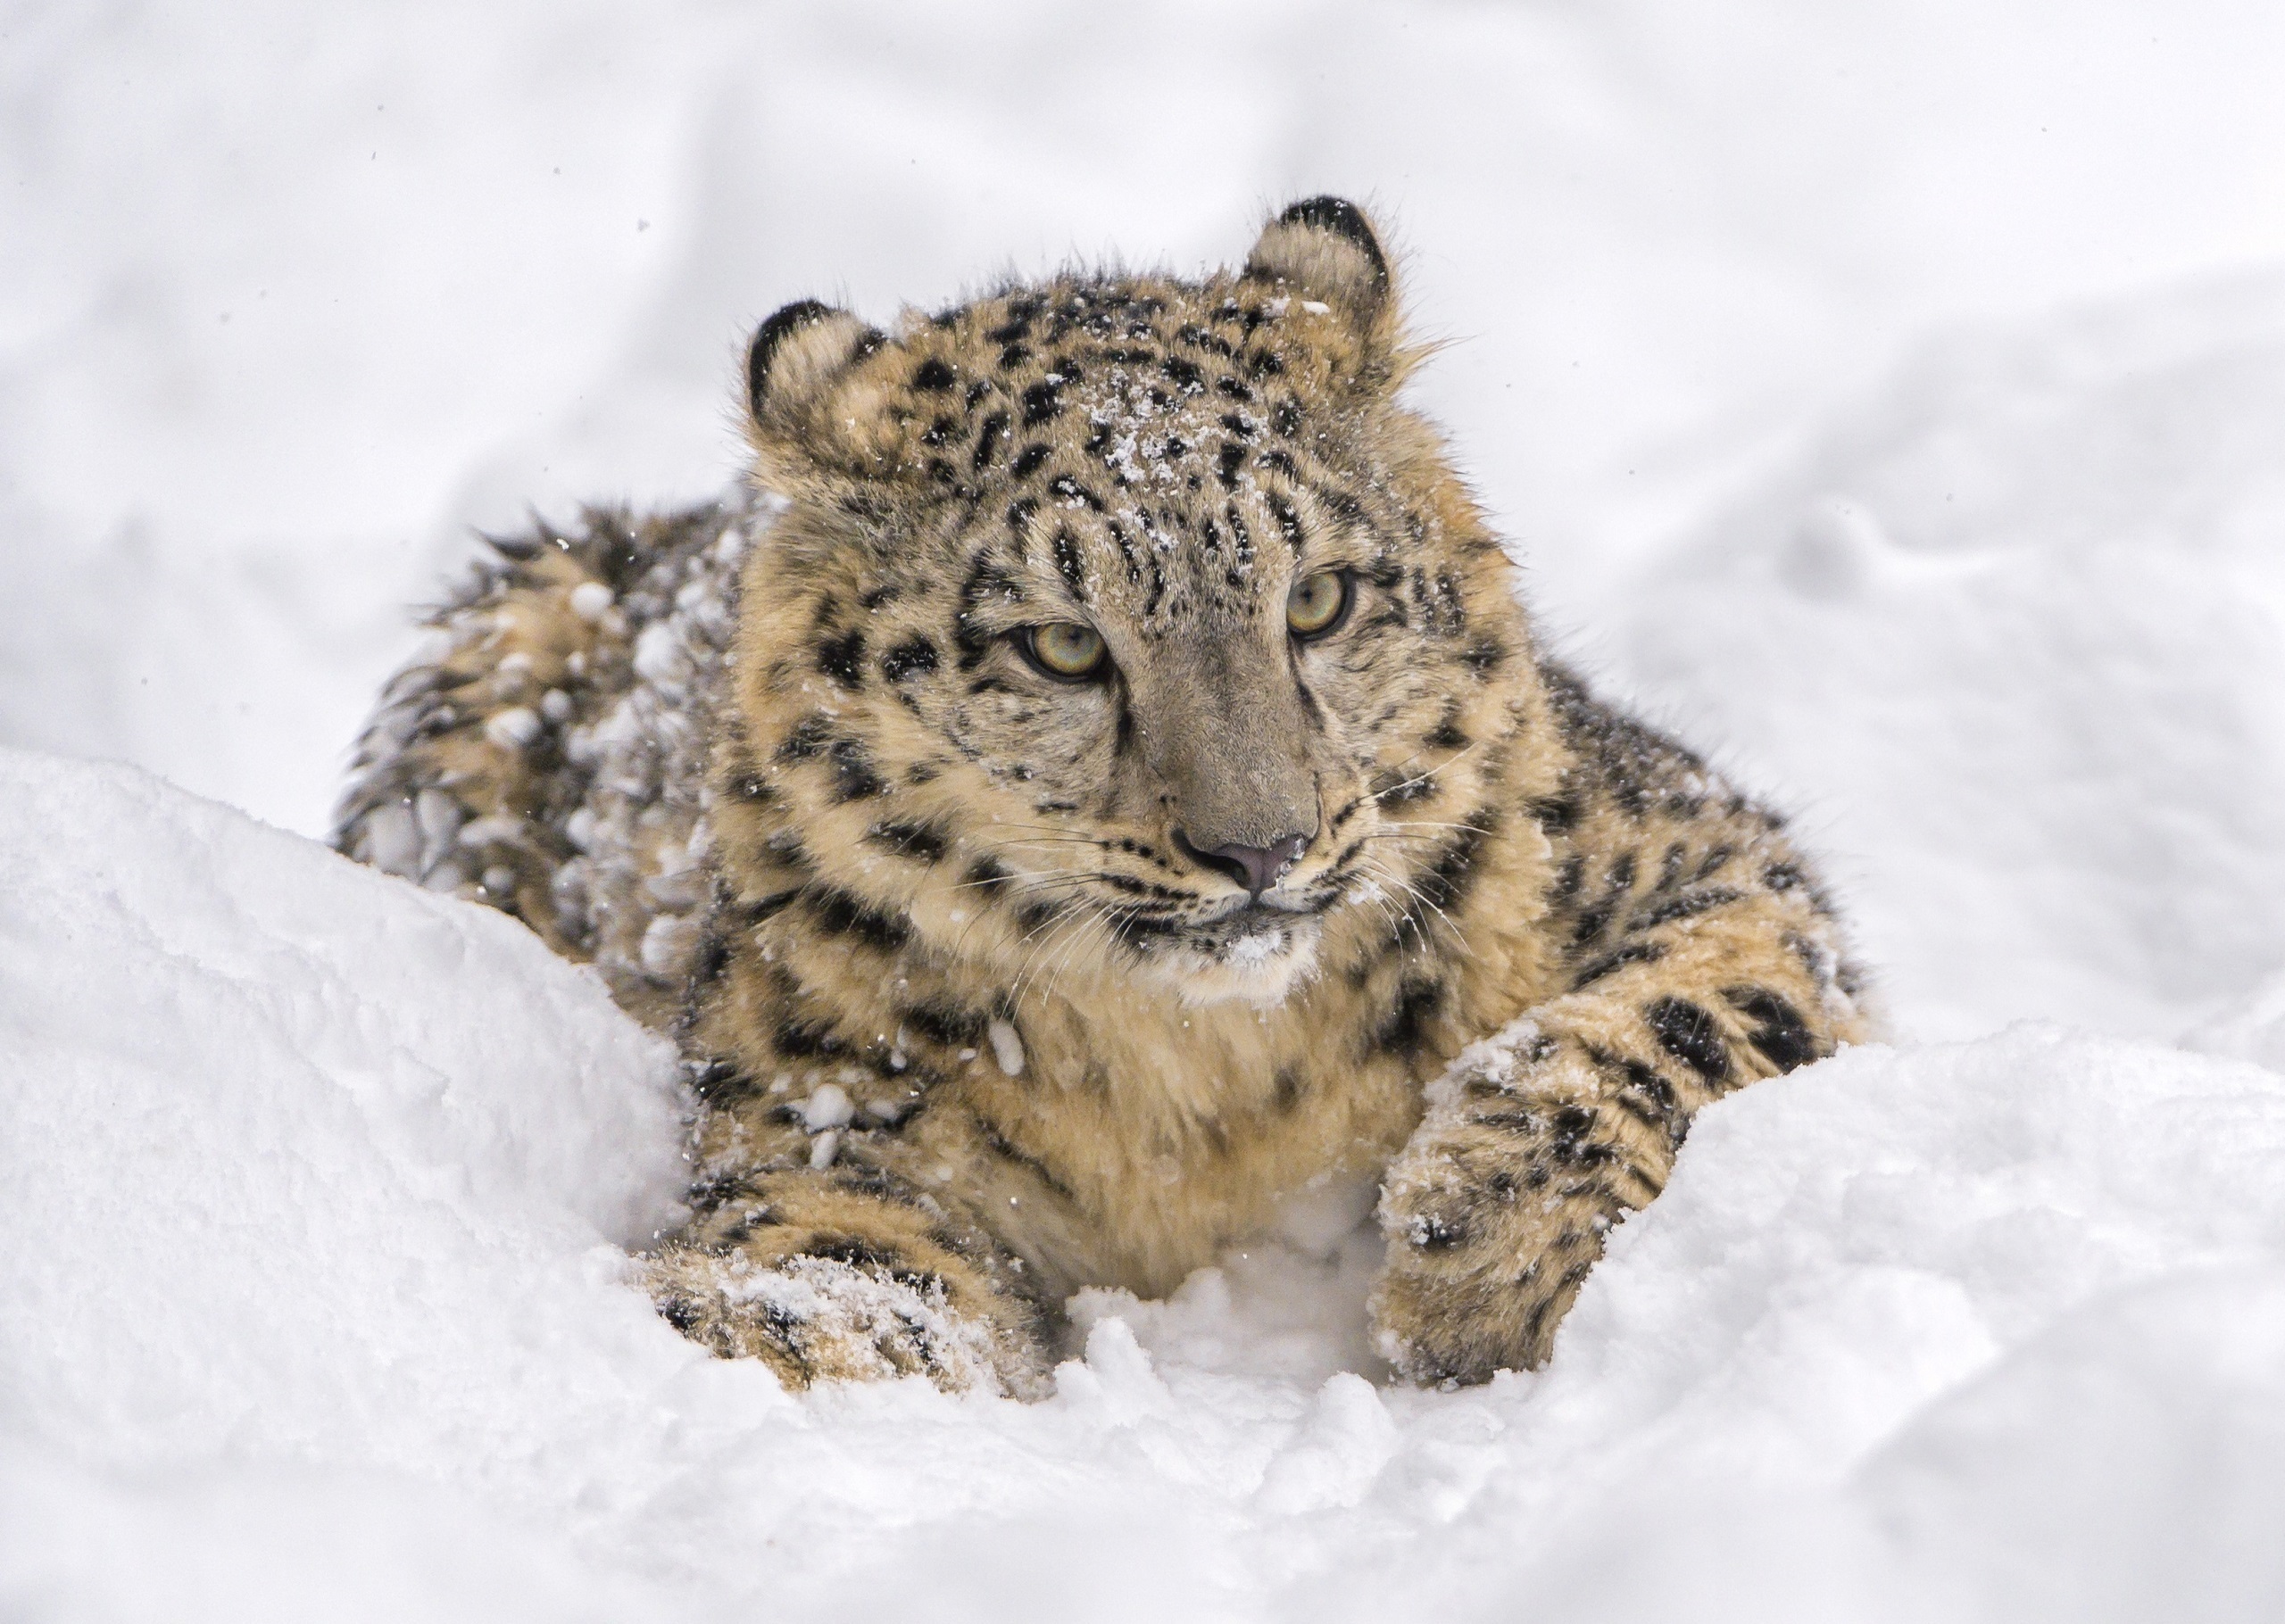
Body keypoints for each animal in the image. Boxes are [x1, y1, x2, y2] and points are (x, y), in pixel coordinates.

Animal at [336, 197, 1871, 1398]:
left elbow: (1698, 1007)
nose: (1262, 848)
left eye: (1318, 599)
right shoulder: (826, 1102)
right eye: (1061, 646)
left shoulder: (1686, 845)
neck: (1213, 1093)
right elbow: (833, 1245)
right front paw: (746, 1330)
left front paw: (1477, 1244)